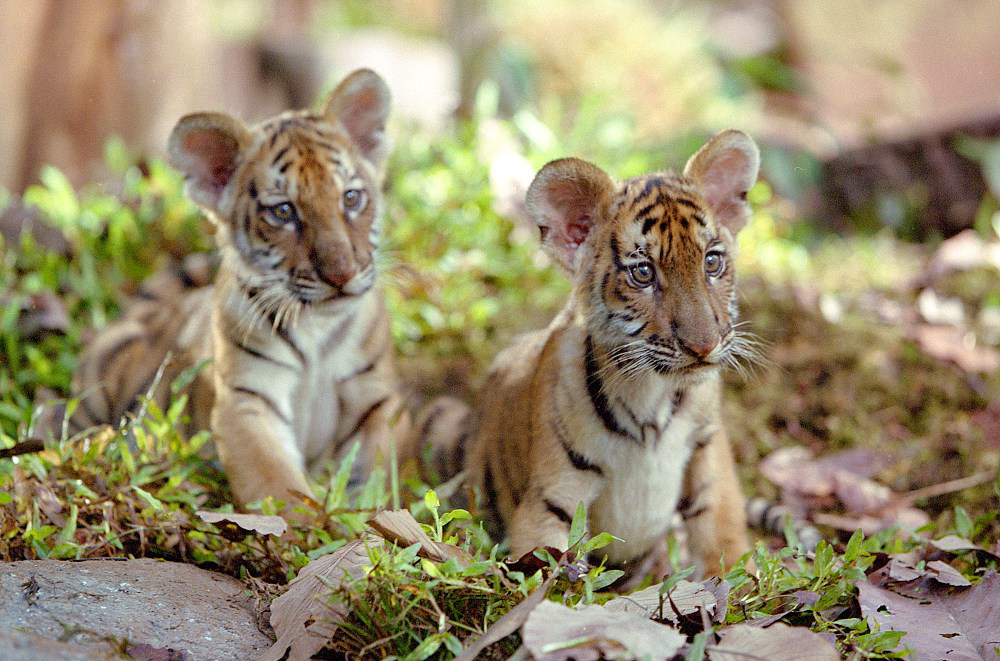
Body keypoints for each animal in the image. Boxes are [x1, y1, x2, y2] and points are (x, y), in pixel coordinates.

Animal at [69, 68, 411, 508]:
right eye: (283, 211)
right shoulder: (245, 400)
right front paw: (314, 524)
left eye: (351, 198)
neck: (317, 330)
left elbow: (373, 473)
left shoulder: (380, 401)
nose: (341, 273)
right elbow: (278, 486)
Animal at [417, 130, 767, 578]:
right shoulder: (548, 502)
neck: (650, 395)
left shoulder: (710, 456)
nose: (703, 346)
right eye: (643, 273)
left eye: (712, 262)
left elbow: (723, 537)